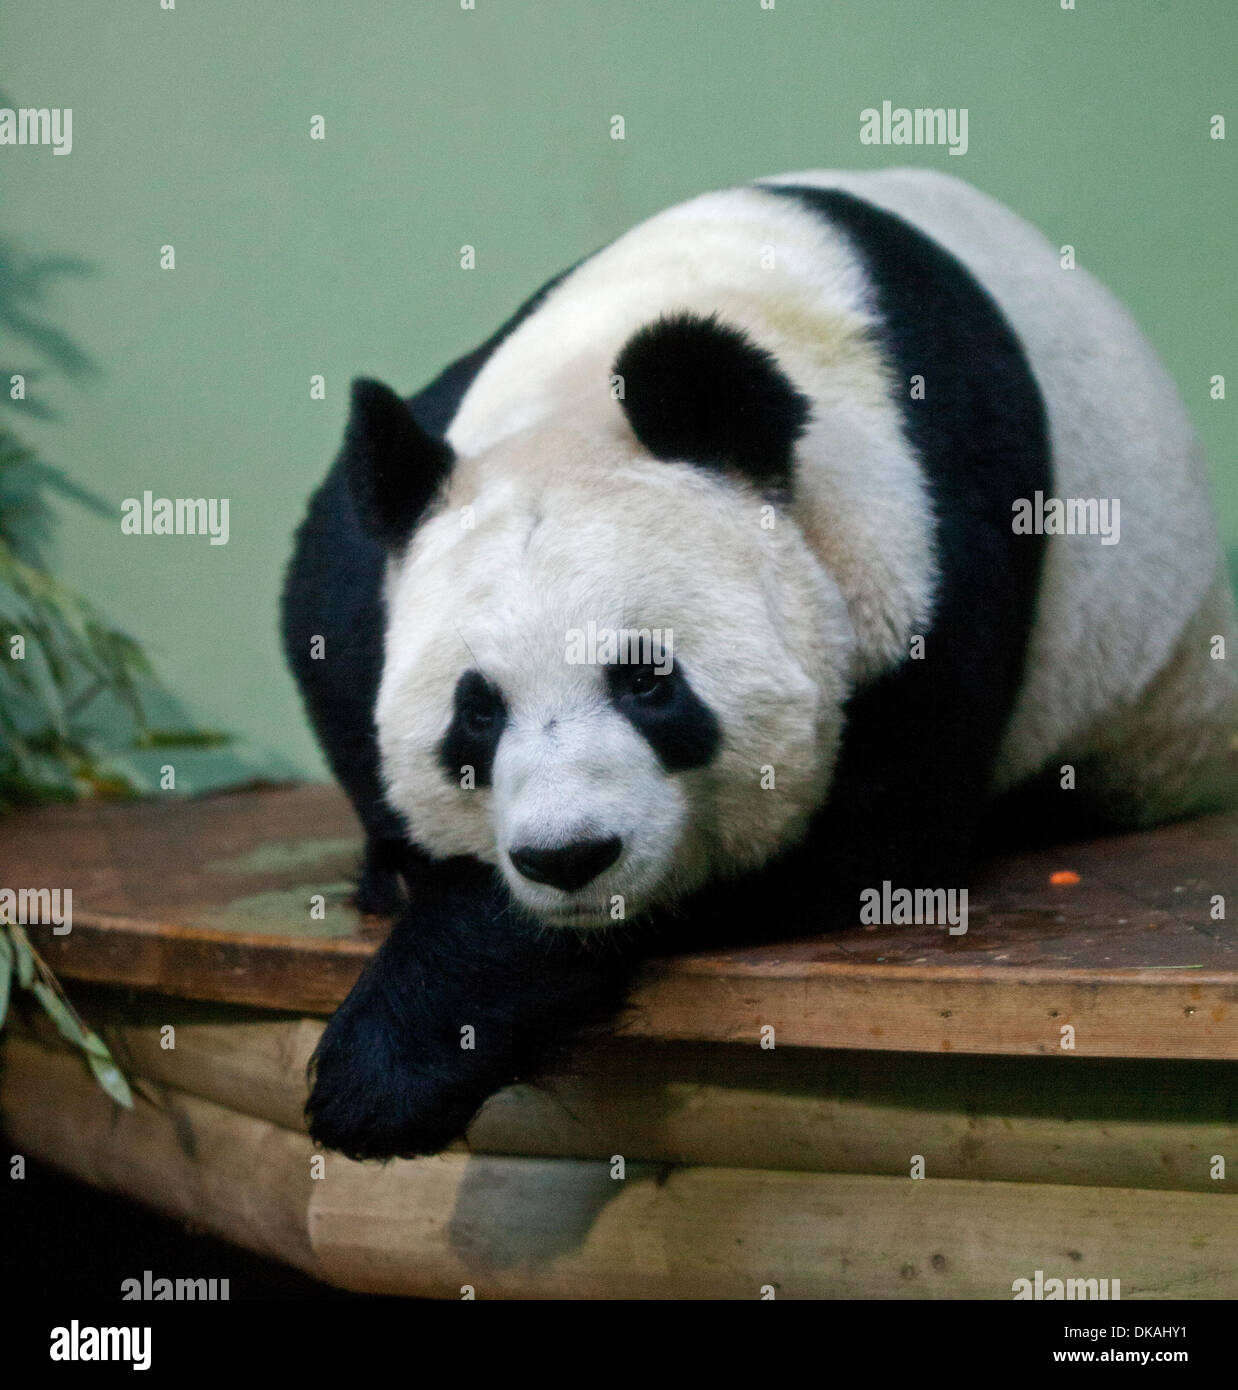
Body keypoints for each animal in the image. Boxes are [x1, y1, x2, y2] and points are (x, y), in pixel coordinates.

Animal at [283, 168, 1238, 1156]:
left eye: (647, 681)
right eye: (478, 711)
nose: (568, 857)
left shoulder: (937, 557)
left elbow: (867, 840)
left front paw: (386, 1067)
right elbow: (332, 631)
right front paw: (402, 878)